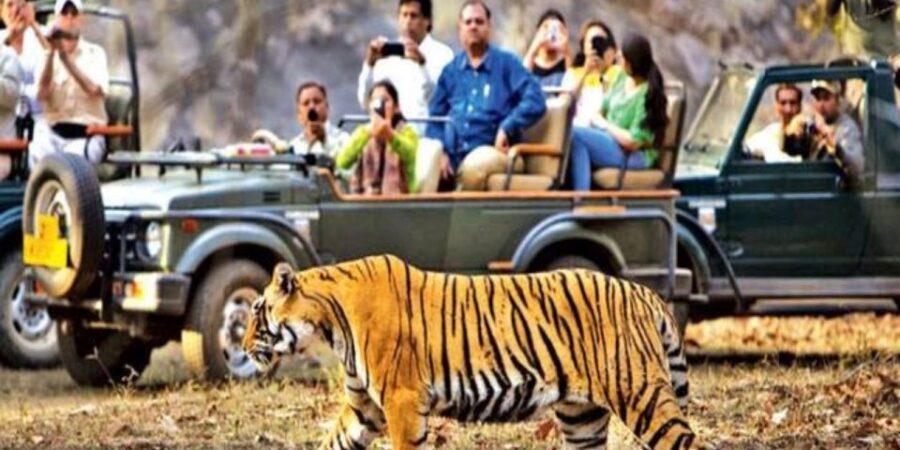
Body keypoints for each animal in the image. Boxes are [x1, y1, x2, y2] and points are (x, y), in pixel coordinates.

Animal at [243, 255, 694, 450]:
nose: (244, 348)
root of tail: (644, 292)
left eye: (257, 310)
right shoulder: (364, 407)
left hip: (641, 397)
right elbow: (335, 442)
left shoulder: (401, 401)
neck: (330, 321)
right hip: (582, 419)